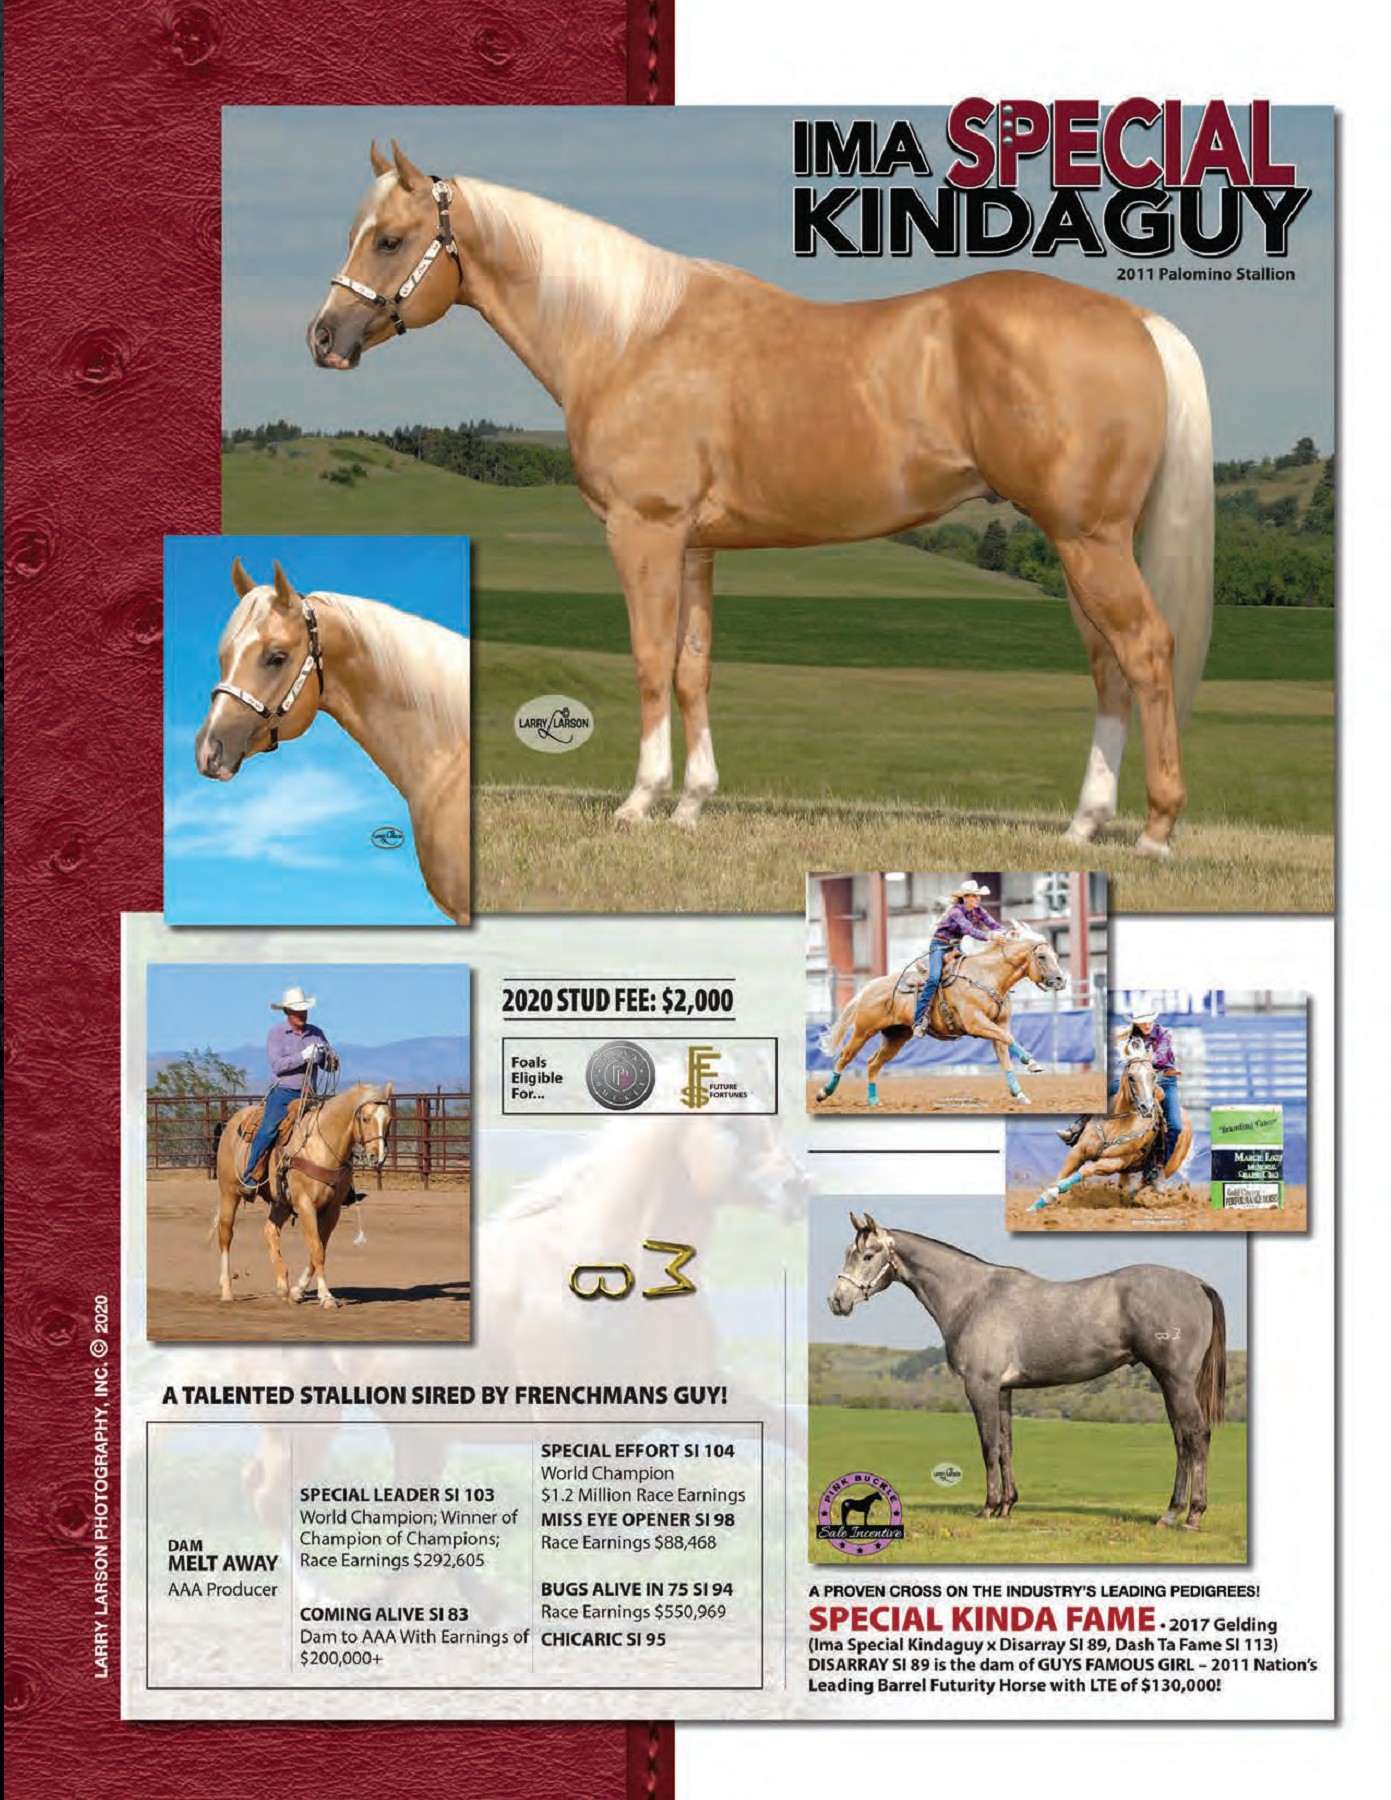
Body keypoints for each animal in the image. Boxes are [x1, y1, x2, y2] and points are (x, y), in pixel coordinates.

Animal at [213, 1081, 394, 1309]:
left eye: (389, 1120)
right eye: (365, 1118)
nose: (377, 1157)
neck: (321, 1145)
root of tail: (232, 1122)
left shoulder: (333, 1209)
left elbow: (319, 1248)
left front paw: (297, 1291)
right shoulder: (305, 1204)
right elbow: (317, 1249)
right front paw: (326, 1296)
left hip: (281, 1203)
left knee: (270, 1231)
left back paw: (283, 1288)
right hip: (229, 1191)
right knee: (225, 1234)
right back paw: (227, 1290)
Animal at [307, 142, 1213, 856]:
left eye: (391, 240)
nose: (323, 338)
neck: (629, 337)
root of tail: (1138, 319)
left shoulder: (644, 533)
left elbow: (648, 660)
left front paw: (639, 803)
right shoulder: (697, 547)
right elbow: (692, 669)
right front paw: (691, 807)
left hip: (1088, 540)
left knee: (1144, 652)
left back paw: (1155, 830)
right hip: (1073, 542)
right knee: (1106, 667)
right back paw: (1083, 826)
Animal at [814, 927, 1065, 1106]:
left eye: (1055, 954)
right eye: (1042, 956)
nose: (1061, 980)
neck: (986, 976)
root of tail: (869, 988)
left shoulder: (998, 1025)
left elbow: (1005, 1054)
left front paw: (1020, 1094)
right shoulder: (976, 1023)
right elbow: (1010, 1040)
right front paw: (1032, 1063)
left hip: (896, 1036)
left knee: (873, 1063)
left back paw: (874, 1100)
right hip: (863, 1030)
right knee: (845, 1056)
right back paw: (824, 1092)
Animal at [828, 1214, 1226, 1529]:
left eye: (867, 1255)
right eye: (848, 1253)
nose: (836, 1301)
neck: (972, 1297)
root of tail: (1196, 1283)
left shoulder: (981, 1387)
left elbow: (988, 1445)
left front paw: (988, 1509)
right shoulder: (1003, 1391)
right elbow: (1006, 1446)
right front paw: (1007, 1507)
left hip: (1175, 1380)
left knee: (1196, 1436)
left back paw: (1191, 1515)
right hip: (1169, 1382)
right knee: (1181, 1440)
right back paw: (1171, 1513)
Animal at [1030, 1039, 1193, 1210]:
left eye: (1153, 1076)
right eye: (1131, 1077)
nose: (1147, 1108)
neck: (1116, 1123)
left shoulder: (1115, 1162)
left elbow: (1086, 1169)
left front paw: (1053, 1193)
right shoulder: (1078, 1151)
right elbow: (1061, 1175)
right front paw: (1040, 1202)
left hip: (1169, 1166)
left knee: (1143, 1182)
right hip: (1128, 1169)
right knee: (1126, 1183)